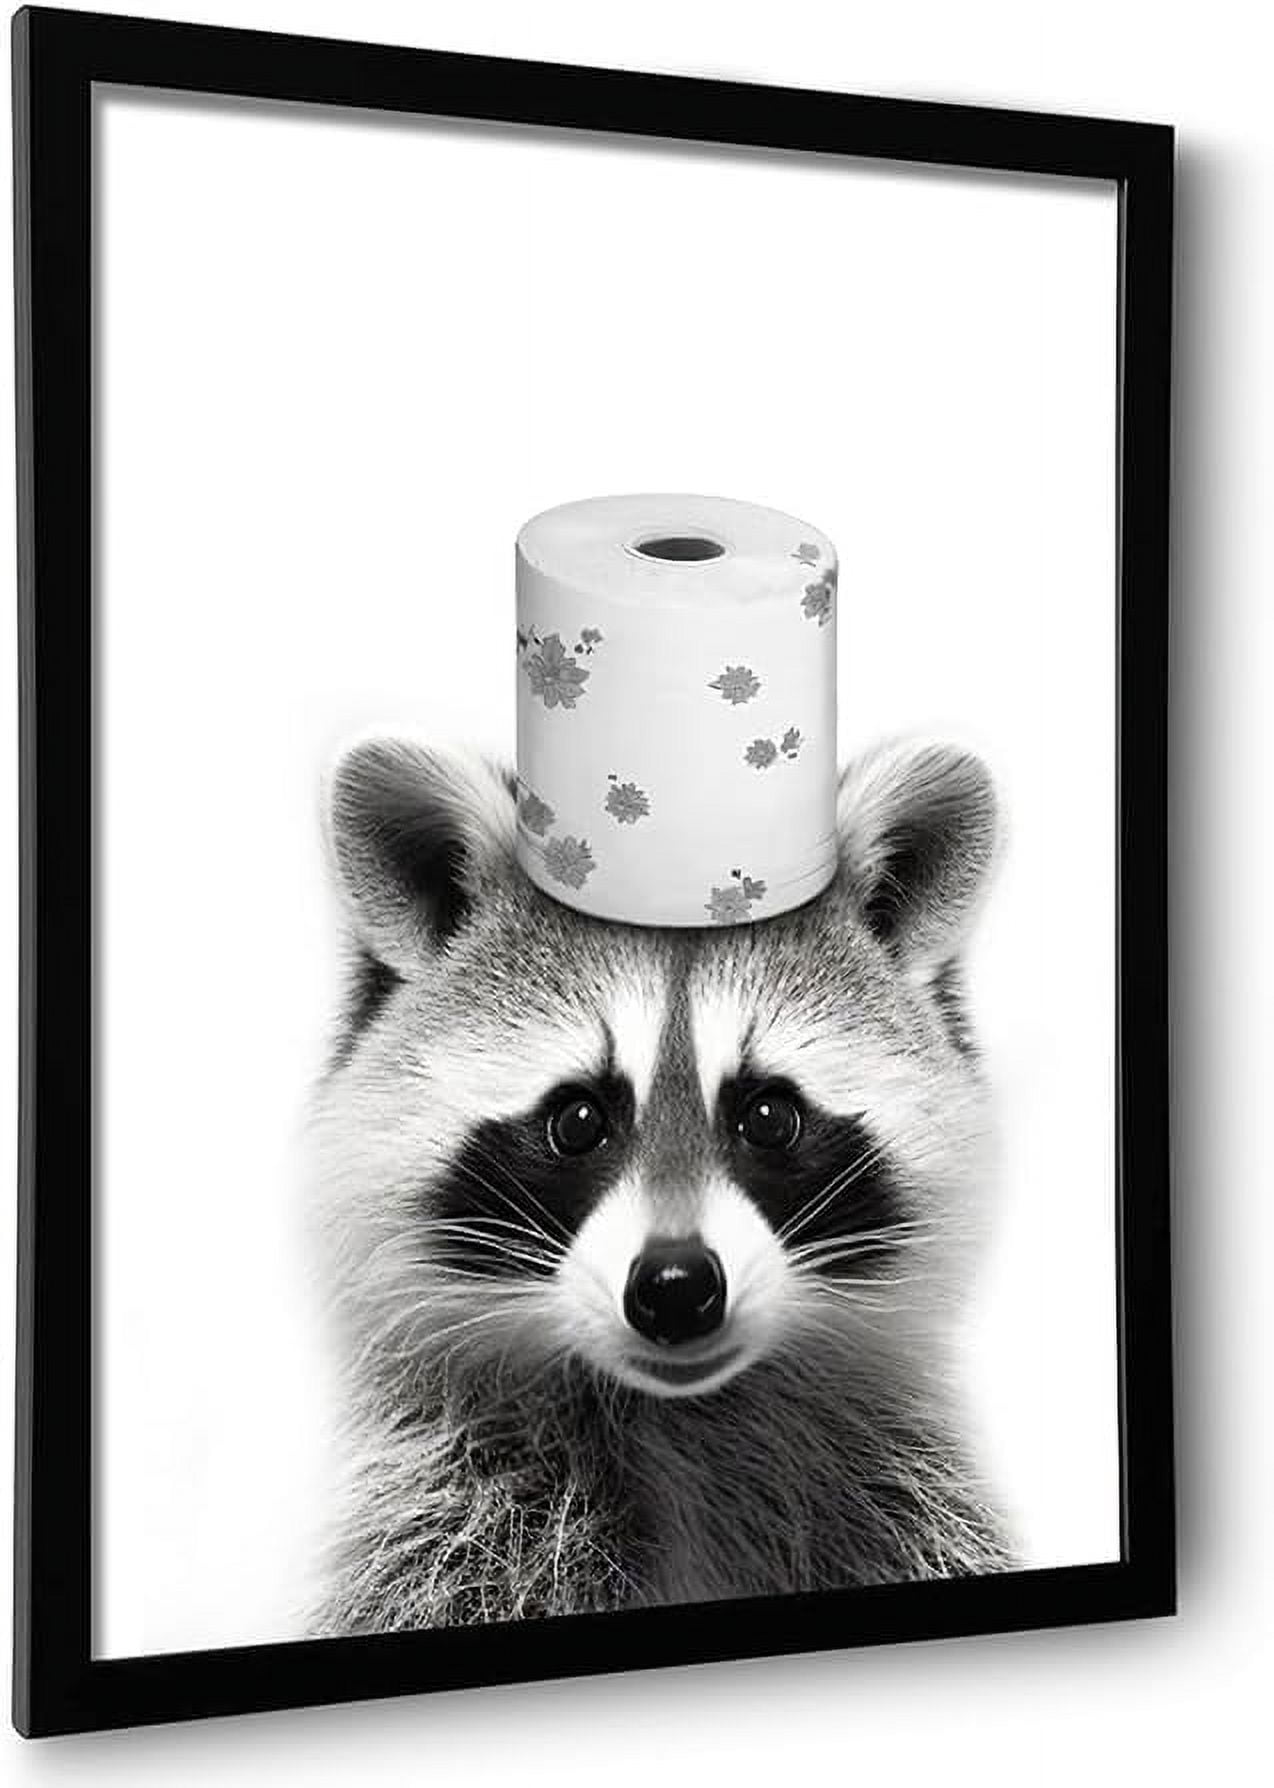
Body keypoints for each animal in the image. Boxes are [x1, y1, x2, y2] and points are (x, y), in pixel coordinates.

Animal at [306, 736, 1014, 1634]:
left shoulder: (905, 1507)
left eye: (769, 1116)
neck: (675, 1416)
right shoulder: (457, 1526)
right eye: (577, 1120)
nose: (676, 1288)